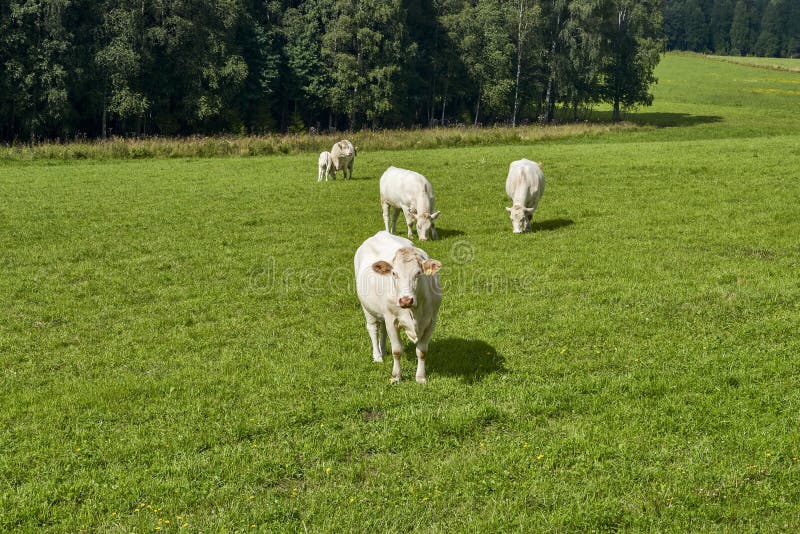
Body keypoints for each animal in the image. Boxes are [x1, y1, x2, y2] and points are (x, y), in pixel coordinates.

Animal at [354, 231, 442, 384]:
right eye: (394, 273)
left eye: (418, 273)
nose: (406, 300)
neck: (414, 311)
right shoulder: (392, 320)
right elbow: (396, 350)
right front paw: (396, 376)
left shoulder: (431, 321)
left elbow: (422, 351)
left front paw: (420, 377)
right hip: (367, 308)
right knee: (373, 329)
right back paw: (377, 356)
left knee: (382, 329)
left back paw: (383, 350)